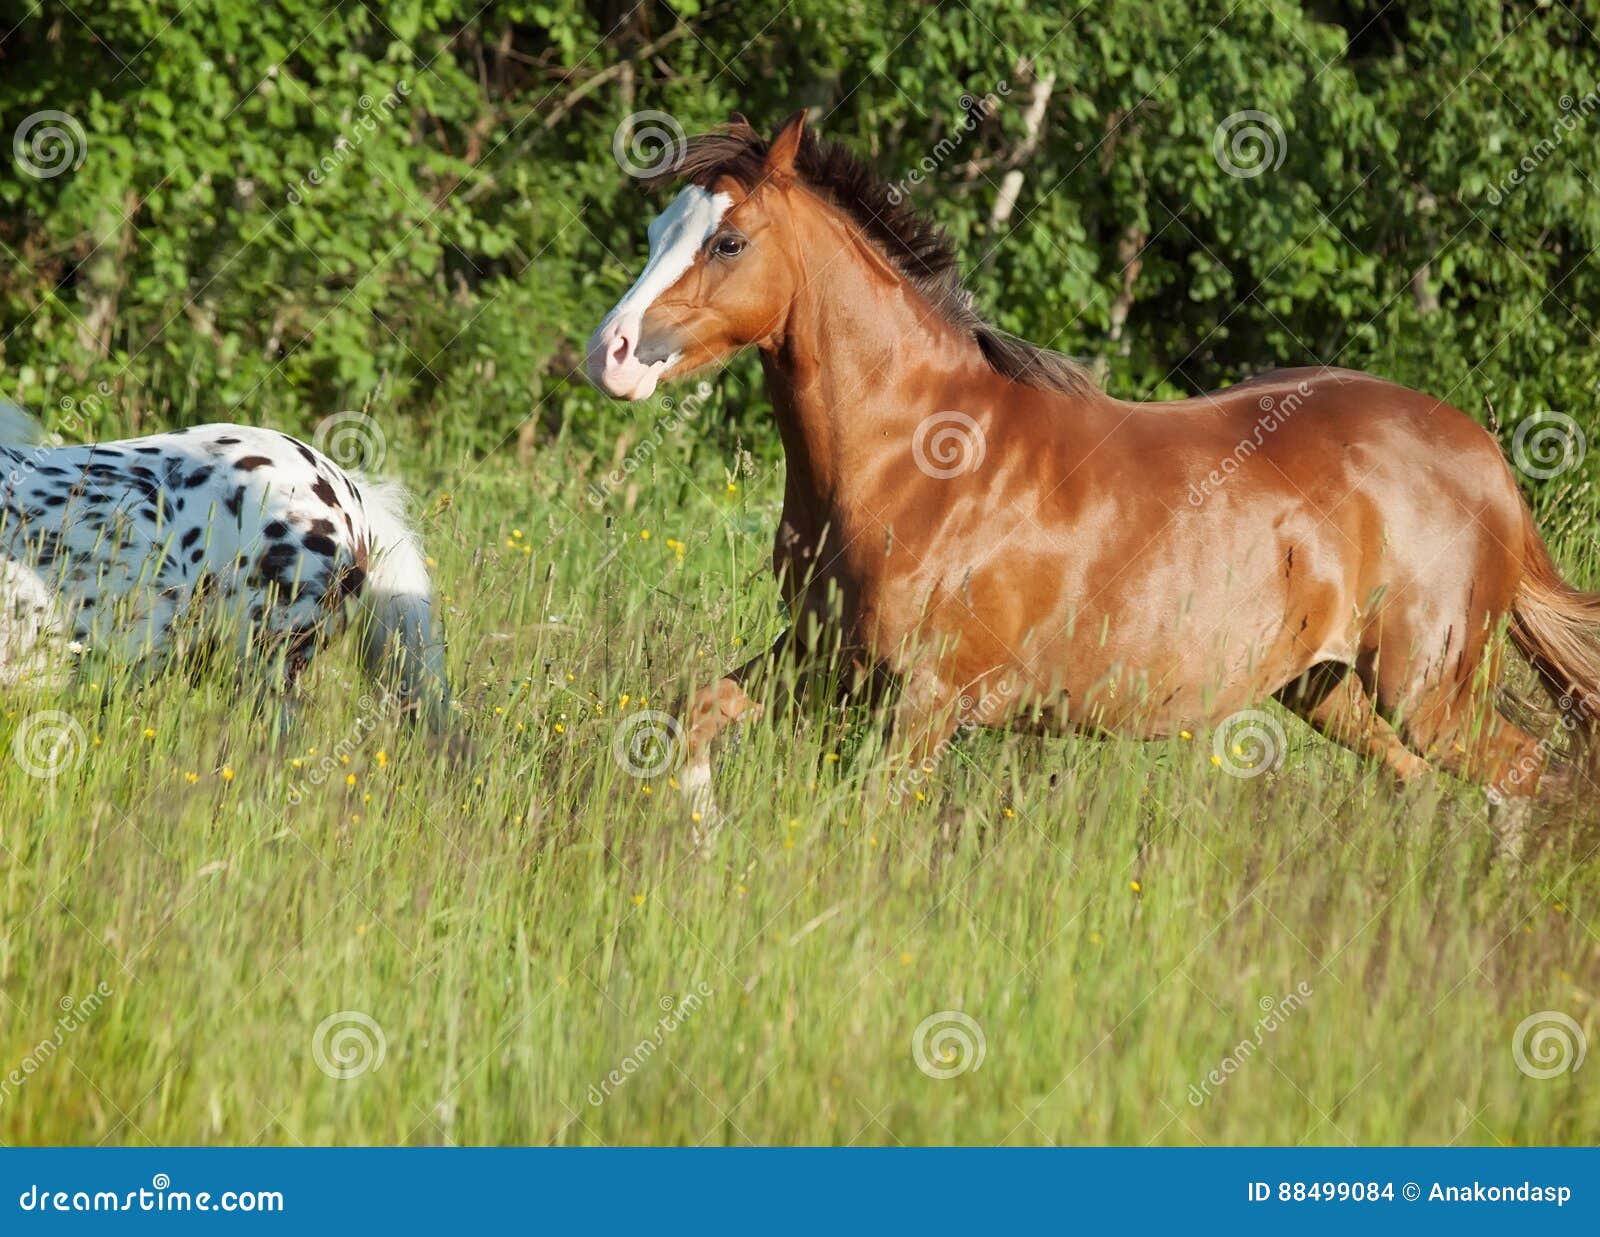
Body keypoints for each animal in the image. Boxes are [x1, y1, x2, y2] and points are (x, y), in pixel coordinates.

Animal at [585, 110, 1600, 833]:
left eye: (729, 242)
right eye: (659, 226)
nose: (611, 353)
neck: (917, 457)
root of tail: (1485, 456)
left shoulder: (924, 701)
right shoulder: (822, 657)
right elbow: (699, 710)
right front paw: (703, 840)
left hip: (1425, 688)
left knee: (1525, 777)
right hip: (1329, 689)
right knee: (1425, 784)